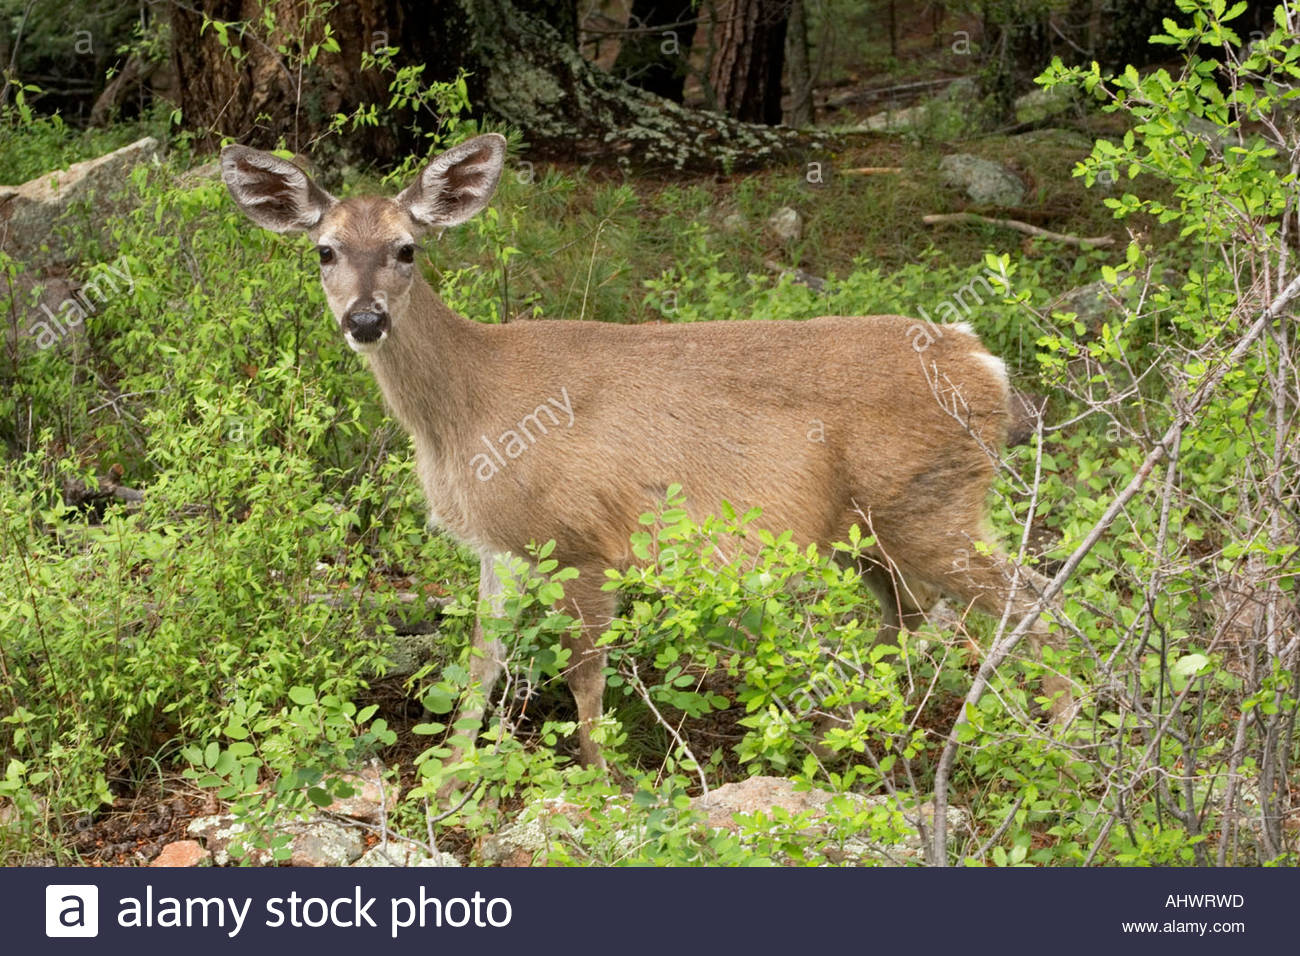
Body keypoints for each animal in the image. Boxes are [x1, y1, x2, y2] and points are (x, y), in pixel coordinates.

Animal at [220, 133, 1077, 770]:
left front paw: (601, 783)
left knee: (1033, 602)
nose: (365, 320)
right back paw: (864, 743)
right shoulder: (500, 544)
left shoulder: (583, 535)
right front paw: (450, 775)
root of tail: (985, 361)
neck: (467, 412)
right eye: (324, 251)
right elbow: (482, 660)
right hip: (876, 532)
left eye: (407, 249)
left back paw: (1060, 741)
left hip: (929, 505)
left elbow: (584, 675)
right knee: (914, 618)